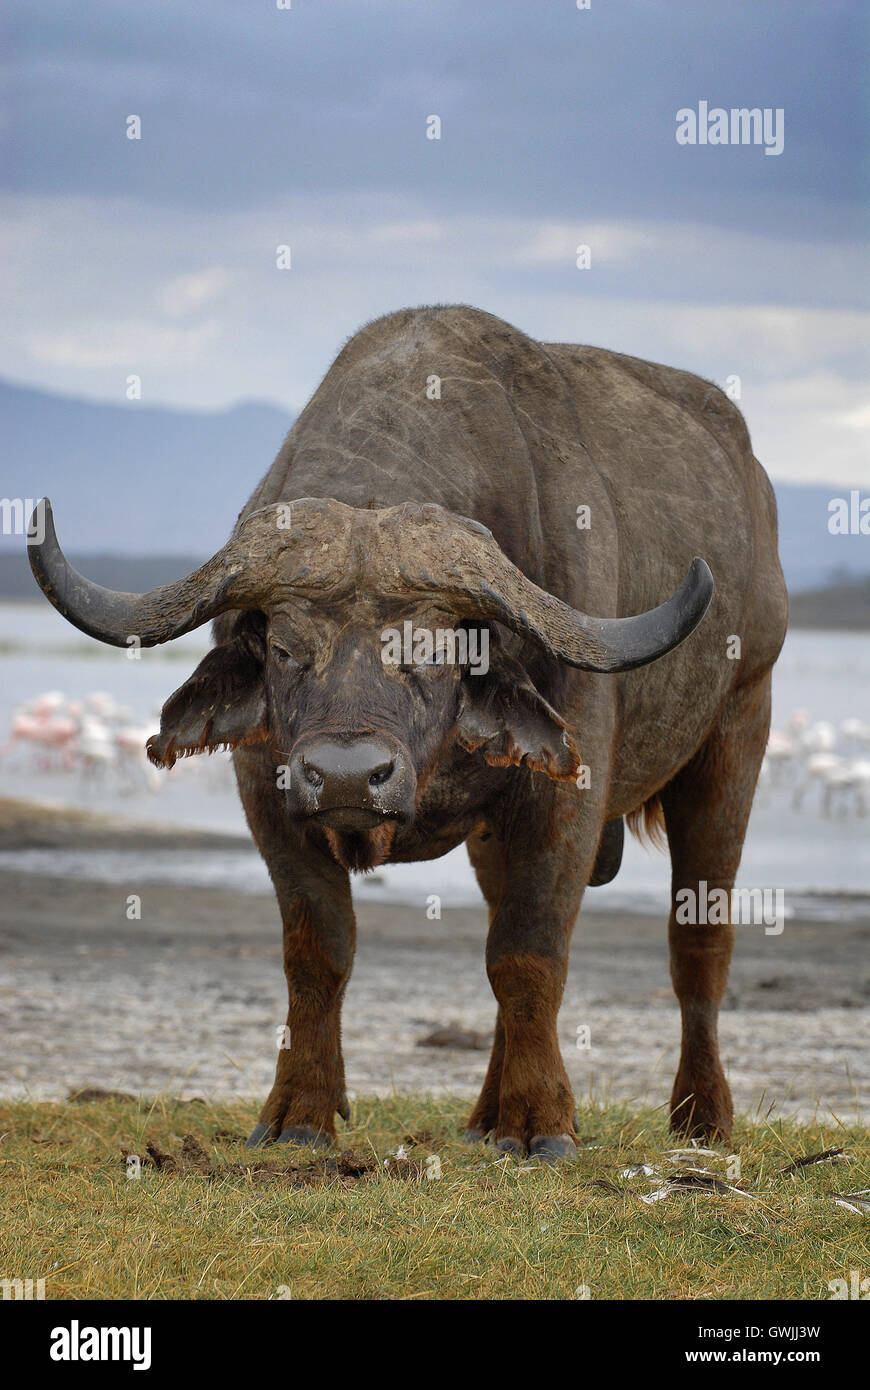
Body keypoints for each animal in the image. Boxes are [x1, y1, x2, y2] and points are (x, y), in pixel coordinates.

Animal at [28, 306, 788, 1159]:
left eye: (432, 650)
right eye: (285, 649)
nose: (349, 775)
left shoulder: (564, 795)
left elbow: (530, 951)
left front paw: (543, 1123)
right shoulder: (269, 792)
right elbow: (320, 951)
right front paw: (298, 1111)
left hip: (738, 731)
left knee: (698, 943)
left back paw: (701, 1116)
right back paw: (486, 1116)